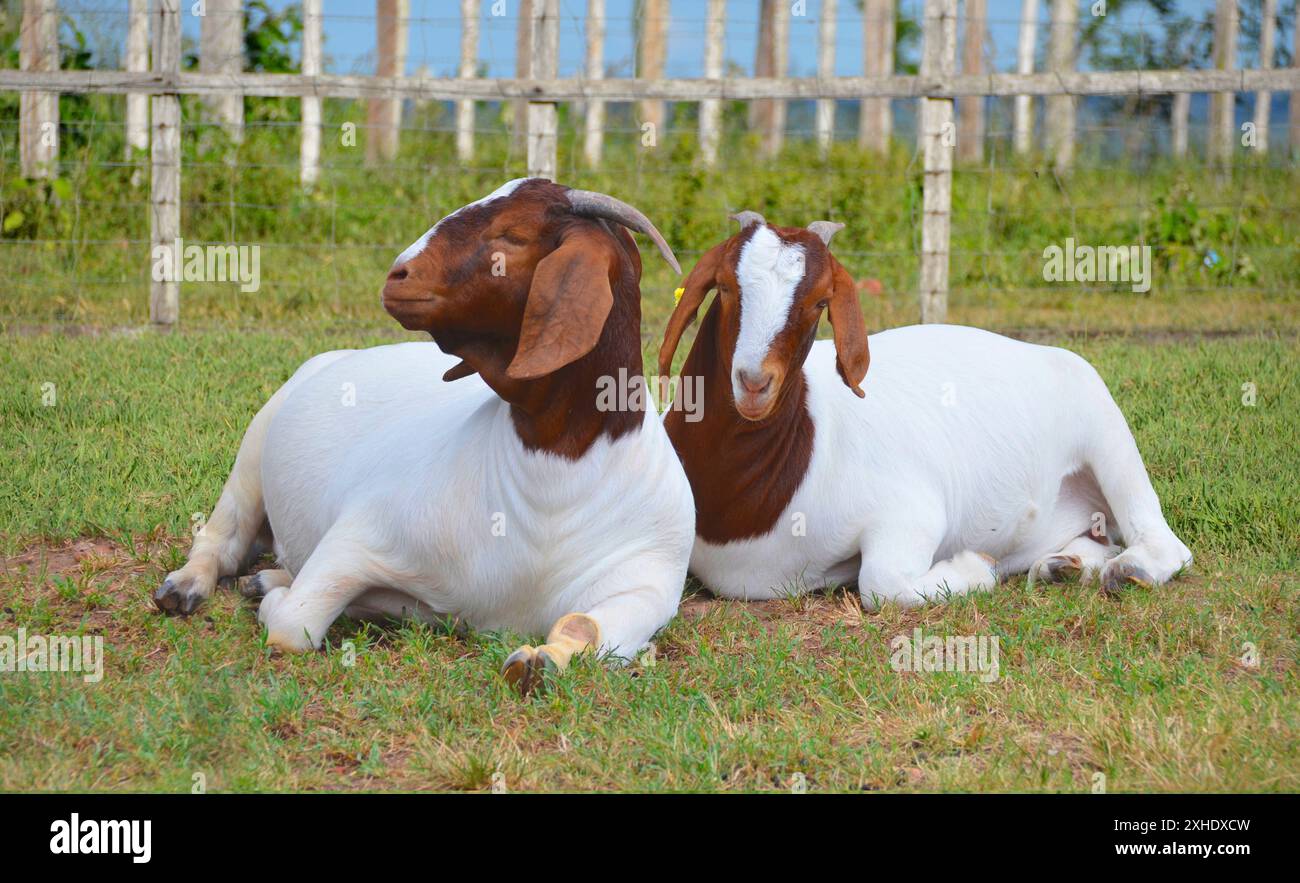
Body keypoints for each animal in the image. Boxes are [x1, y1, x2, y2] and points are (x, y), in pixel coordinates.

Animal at [154, 179, 695, 694]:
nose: (397, 275)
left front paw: (539, 662)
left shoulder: (646, 585)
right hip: (253, 450)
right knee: (222, 537)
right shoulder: (361, 535)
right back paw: (185, 587)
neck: (553, 480)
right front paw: (273, 603)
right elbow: (293, 623)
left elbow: (589, 628)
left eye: (512, 236)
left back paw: (265, 578)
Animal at [658, 212, 1192, 607]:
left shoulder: (910, 511)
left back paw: (1128, 570)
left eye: (818, 302)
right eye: (727, 287)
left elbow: (882, 584)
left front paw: (976, 567)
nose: (754, 383)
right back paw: (1063, 566)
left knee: (1163, 542)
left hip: (1107, 435)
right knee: (1099, 539)